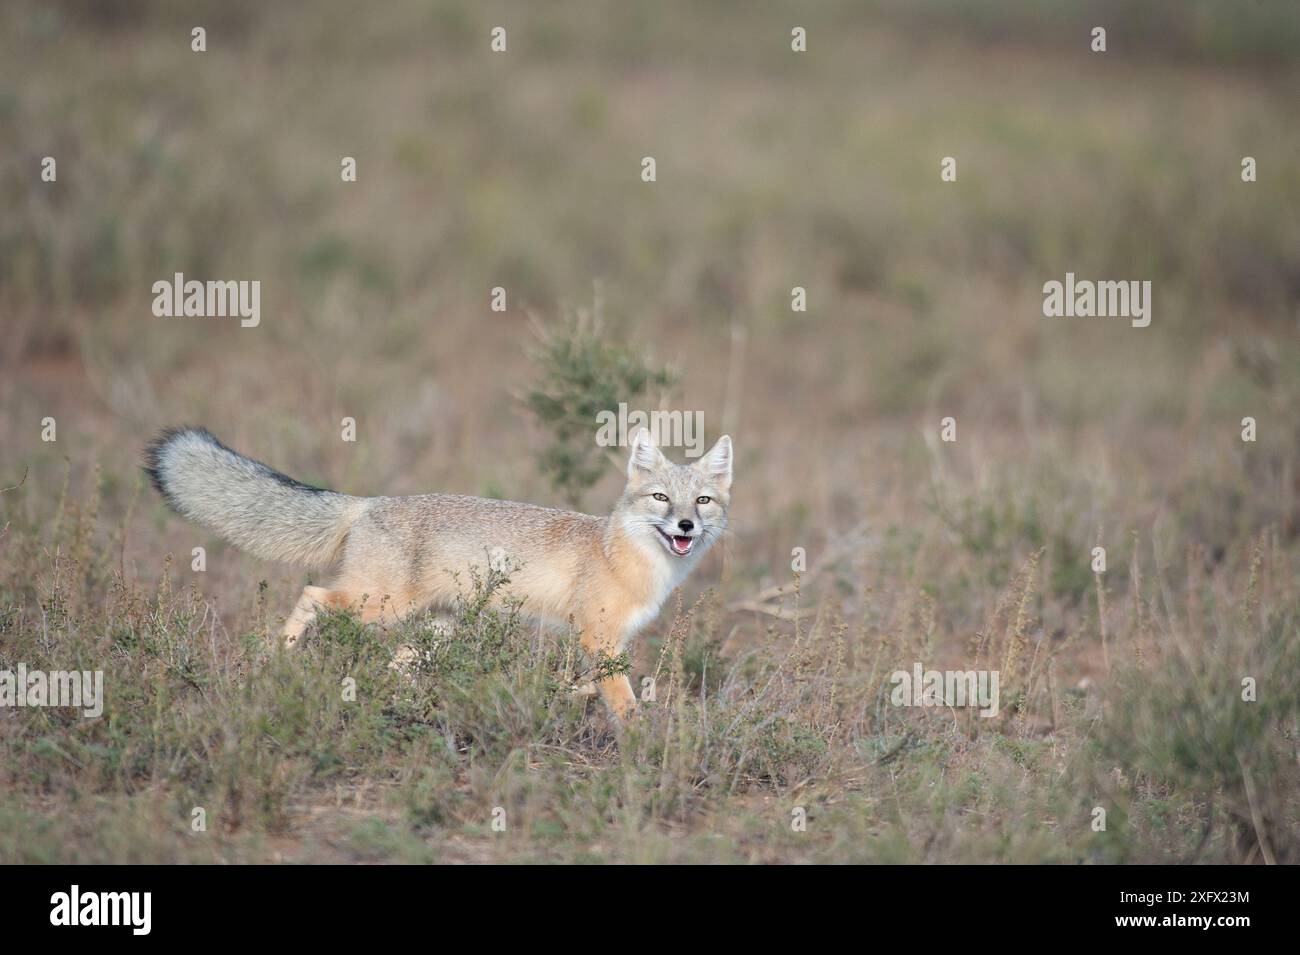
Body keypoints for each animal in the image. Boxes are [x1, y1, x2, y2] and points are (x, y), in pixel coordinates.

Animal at [143, 425, 732, 718]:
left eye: (702, 501)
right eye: (661, 498)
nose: (685, 525)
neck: (620, 553)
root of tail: (370, 502)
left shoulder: (603, 643)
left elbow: (592, 688)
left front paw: (568, 698)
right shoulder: (599, 637)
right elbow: (624, 701)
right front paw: (637, 743)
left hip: (431, 631)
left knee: (392, 667)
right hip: (377, 608)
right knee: (311, 593)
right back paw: (275, 661)